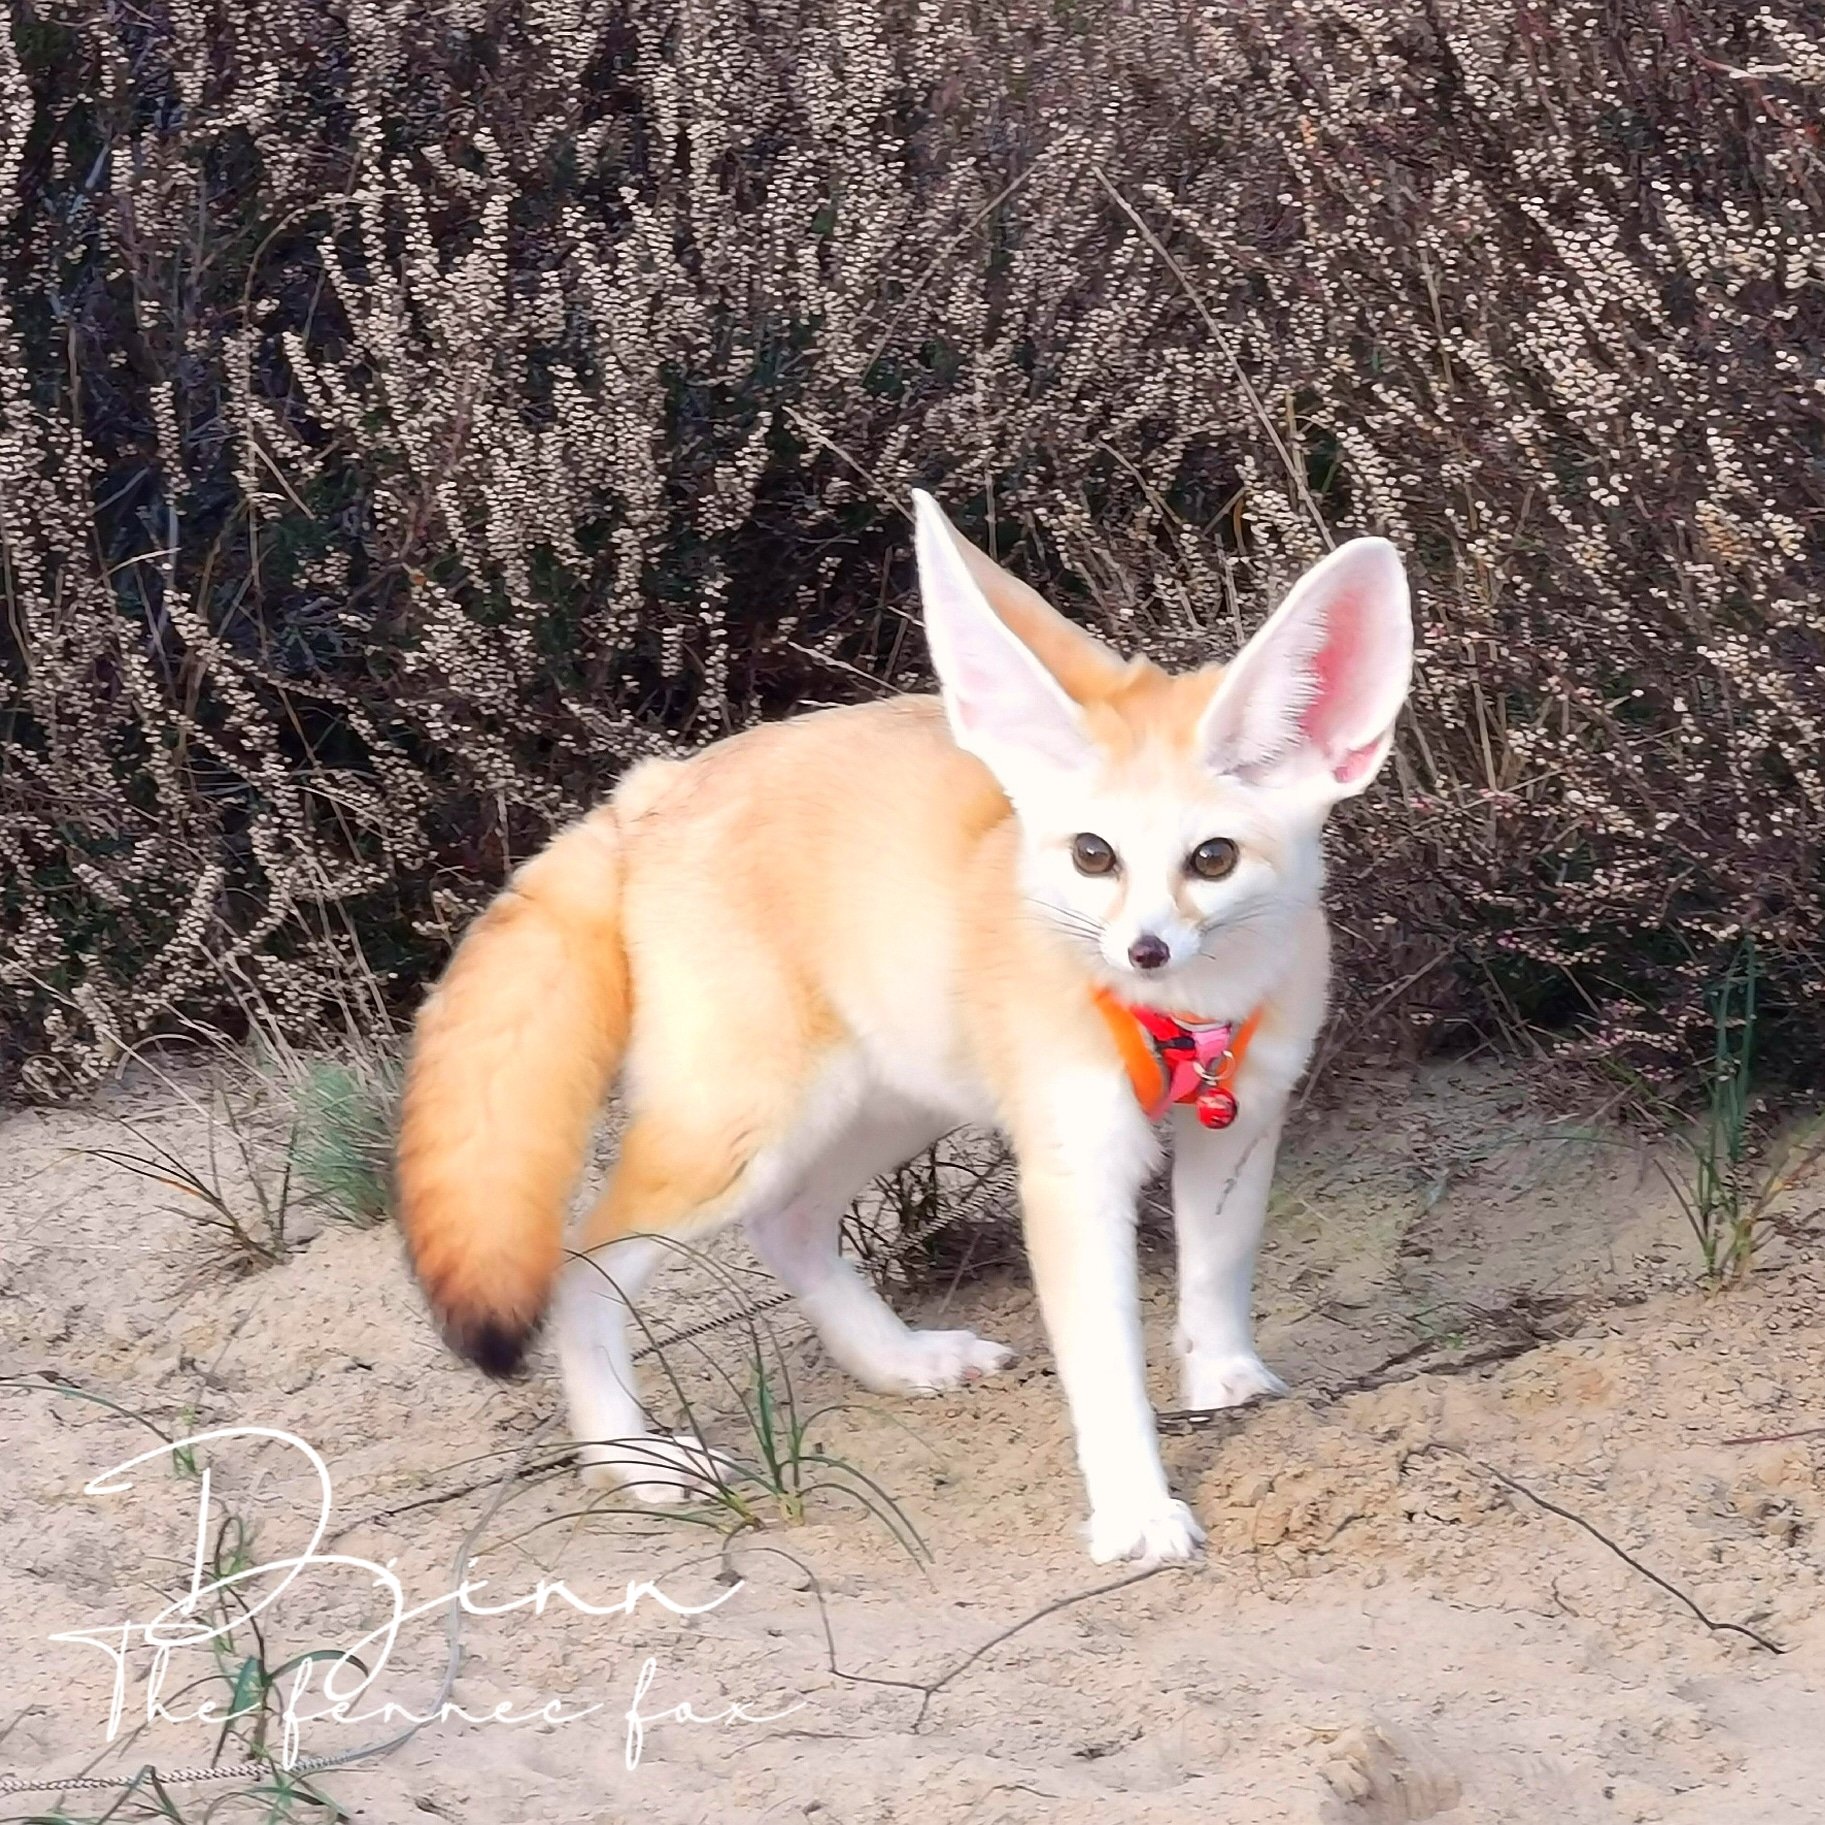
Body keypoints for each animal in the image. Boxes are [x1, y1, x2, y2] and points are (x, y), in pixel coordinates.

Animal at [395, 492, 1412, 1567]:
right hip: (744, 1133)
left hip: (889, 1103)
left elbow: (1216, 1271)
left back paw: (894, 1360)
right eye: (1094, 855)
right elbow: (1106, 1373)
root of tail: (652, 786)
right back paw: (633, 1460)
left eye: (1211, 858)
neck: (1185, 1018)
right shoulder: (1073, 1167)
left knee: (787, 1224)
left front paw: (1222, 1382)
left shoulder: (1241, 1118)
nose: (1142, 951)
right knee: (581, 1268)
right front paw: (1136, 1511)